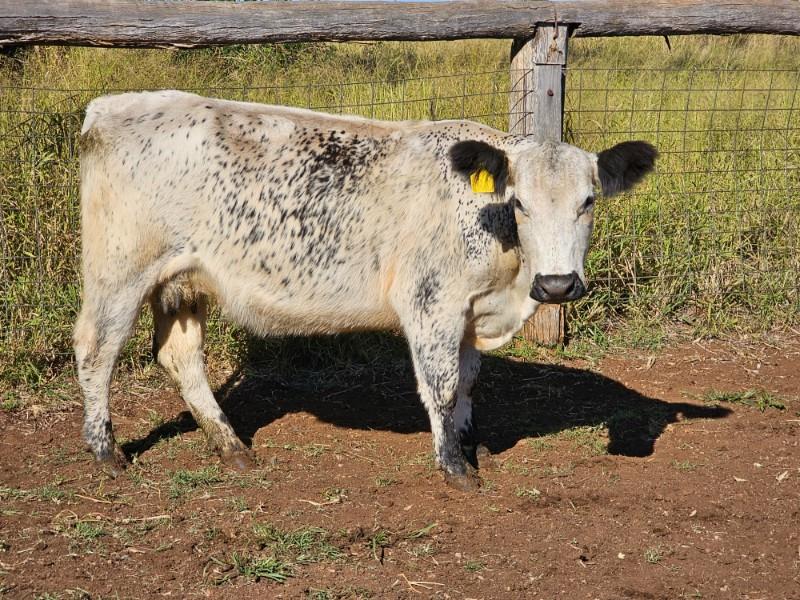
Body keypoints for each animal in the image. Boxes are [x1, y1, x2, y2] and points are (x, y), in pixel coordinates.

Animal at [74, 90, 656, 490]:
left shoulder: (471, 312)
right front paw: (454, 467)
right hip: (119, 273)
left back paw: (230, 445)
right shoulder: (431, 304)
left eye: (588, 200)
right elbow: (442, 386)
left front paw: (471, 444)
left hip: (182, 280)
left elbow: (469, 382)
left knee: (180, 356)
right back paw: (106, 451)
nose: (557, 284)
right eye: (520, 203)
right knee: (95, 350)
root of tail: (111, 107)